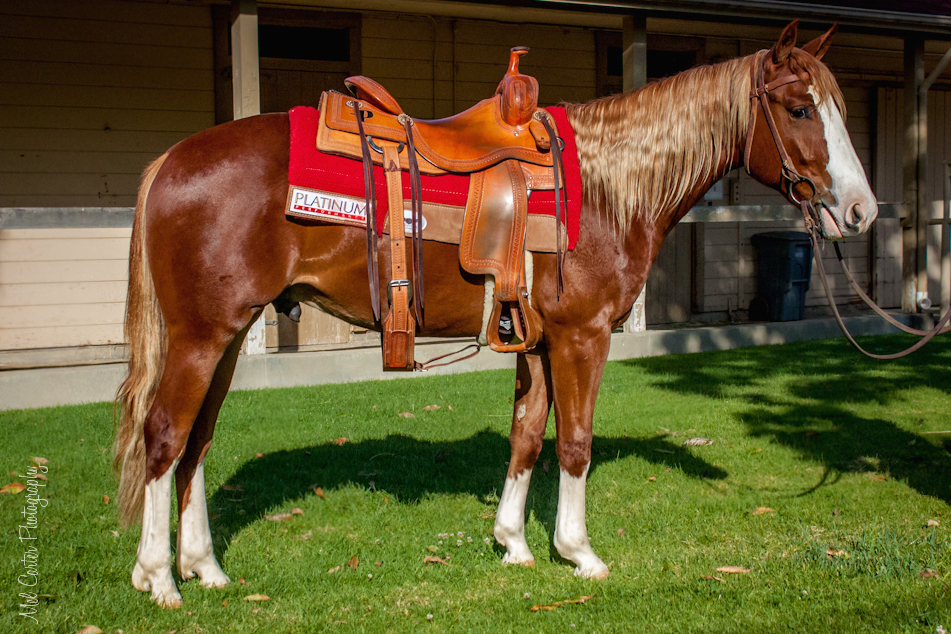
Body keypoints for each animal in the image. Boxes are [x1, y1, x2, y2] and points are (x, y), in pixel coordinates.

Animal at [113, 20, 878, 607]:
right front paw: (579, 552)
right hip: (201, 337)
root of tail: (170, 160)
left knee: (197, 443)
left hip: (228, 336)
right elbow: (574, 444)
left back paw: (205, 568)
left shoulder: (537, 343)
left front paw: (514, 545)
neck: (606, 187)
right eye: (800, 109)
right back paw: (159, 578)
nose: (861, 212)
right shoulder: (581, 338)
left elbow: (525, 438)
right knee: (164, 436)